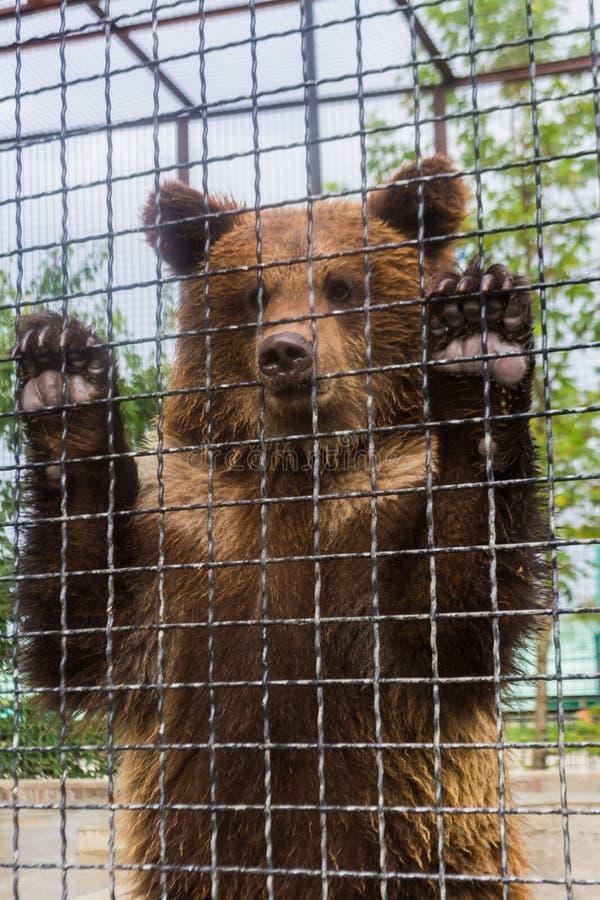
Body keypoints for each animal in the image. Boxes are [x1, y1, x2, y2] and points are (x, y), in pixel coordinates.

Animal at [14, 155, 543, 898]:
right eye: (254, 293)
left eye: (342, 285)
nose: (287, 351)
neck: (298, 466)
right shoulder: (191, 540)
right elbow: (87, 627)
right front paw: (64, 382)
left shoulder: (379, 522)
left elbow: (449, 608)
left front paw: (478, 341)